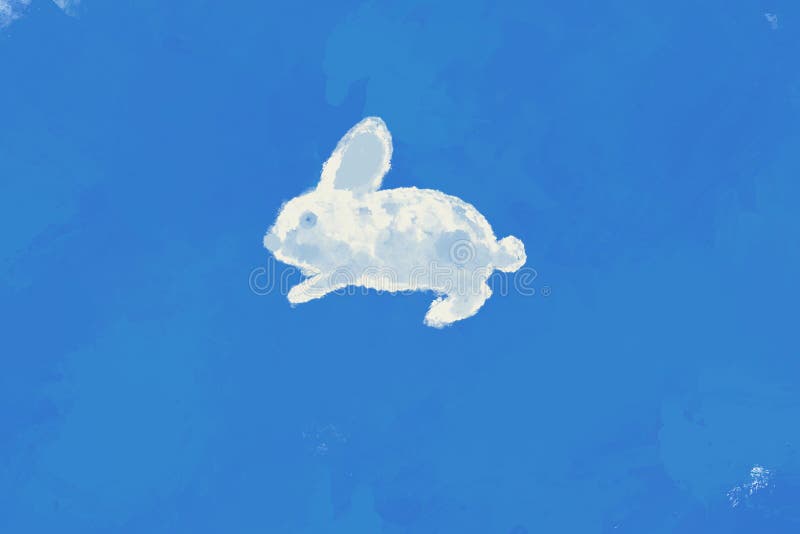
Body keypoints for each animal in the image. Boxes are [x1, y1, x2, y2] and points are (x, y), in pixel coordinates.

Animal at [263, 117, 526, 327]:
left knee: (478, 293)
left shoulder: (347, 267)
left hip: (452, 270)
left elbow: (325, 282)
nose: (270, 241)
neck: (346, 226)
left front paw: (296, 294)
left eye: (308, 219)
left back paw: (438, 315)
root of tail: (492, 249)